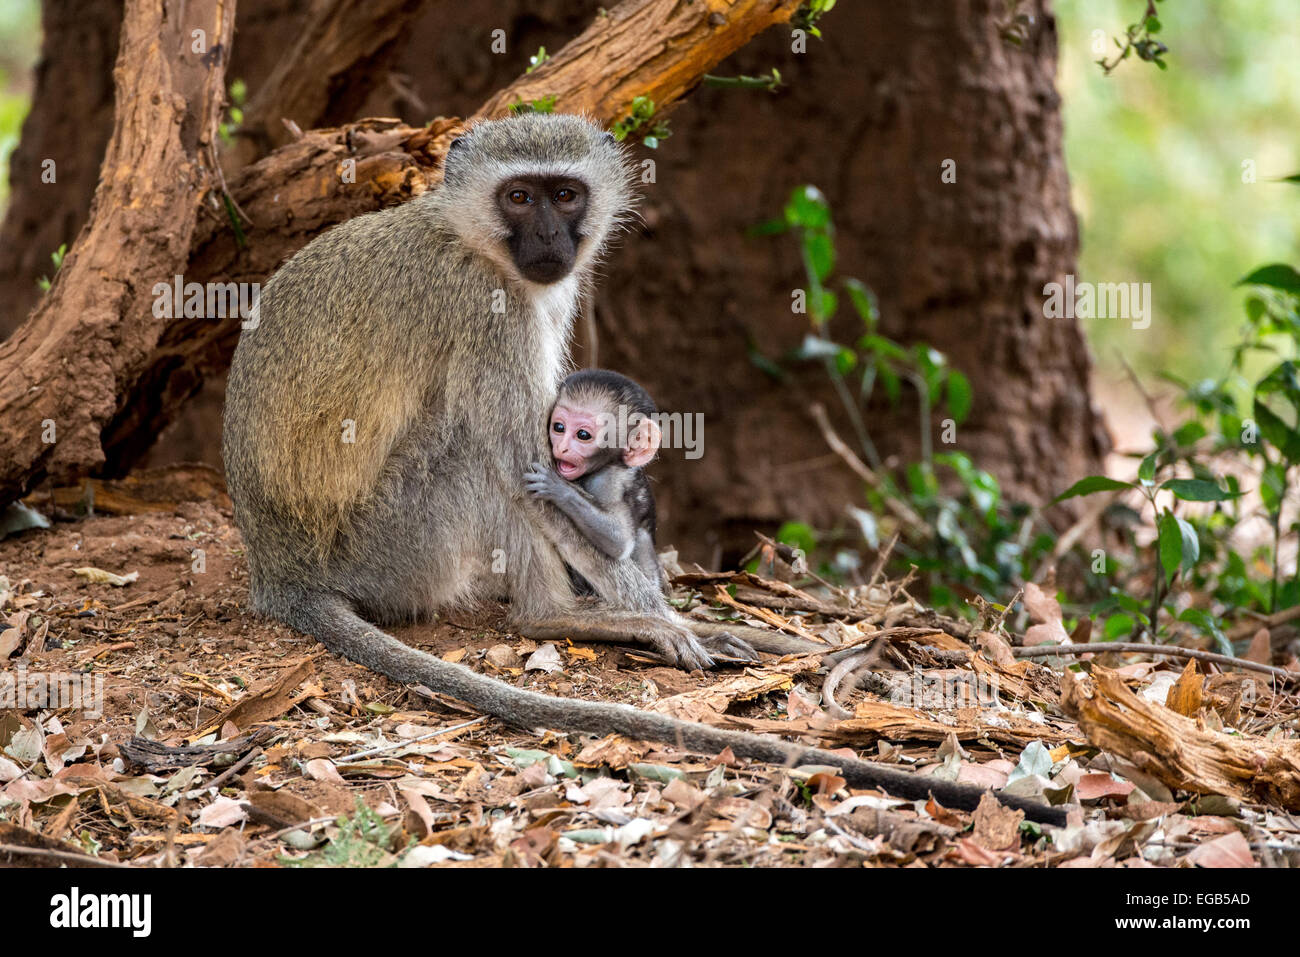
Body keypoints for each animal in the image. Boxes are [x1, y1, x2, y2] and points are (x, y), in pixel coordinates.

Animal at [524, 369, 665, 592]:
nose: (561, 448)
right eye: (558, 427)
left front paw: (558, 488)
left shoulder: (608, 480)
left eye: (583, 435)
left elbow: (620, 541)